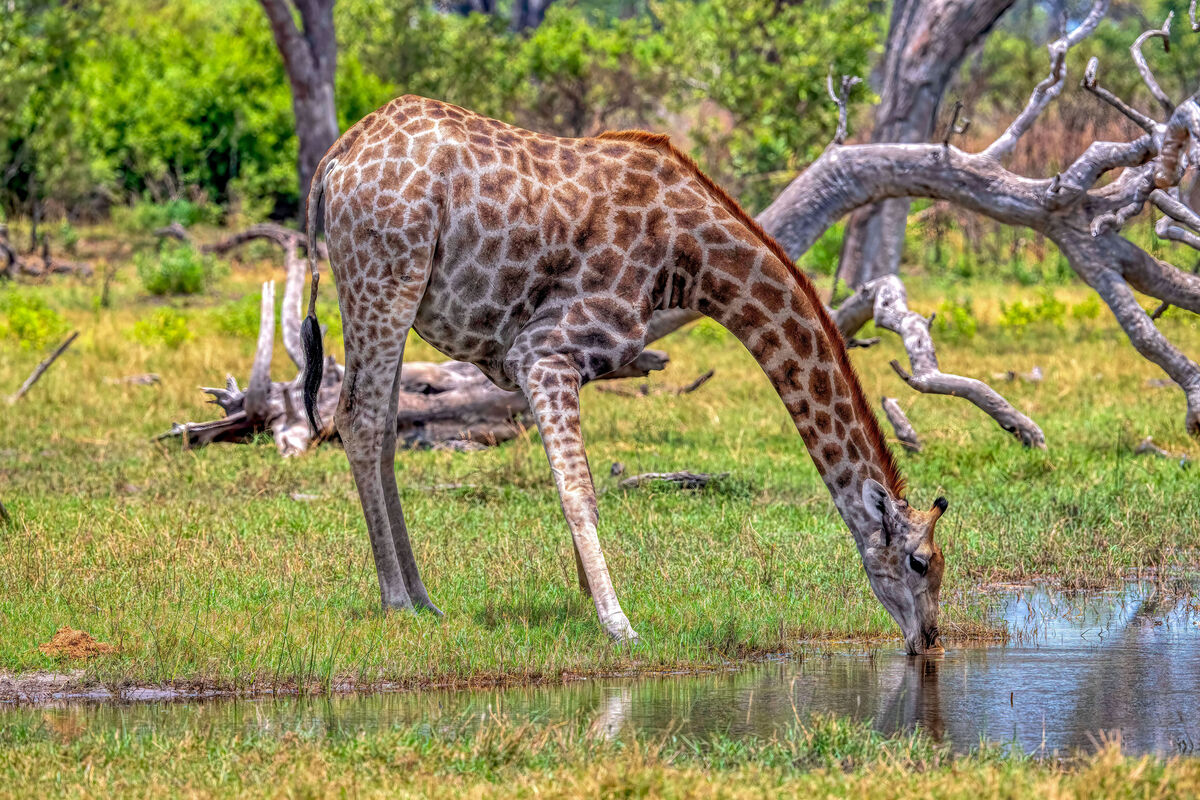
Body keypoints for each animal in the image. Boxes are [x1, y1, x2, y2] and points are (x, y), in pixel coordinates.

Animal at [300, 95, 949, 654]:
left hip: (385, 290)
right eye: (920, 561)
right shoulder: (543, 353)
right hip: (387, 275)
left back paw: (424, 598)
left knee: (384, 425)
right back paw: (396, 600)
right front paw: (618, 623)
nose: (930, 640)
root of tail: (337, 157)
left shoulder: (553, 362)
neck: (689, 261)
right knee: (358, 420)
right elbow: (579, 492)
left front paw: (585, 603)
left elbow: (574, 489)